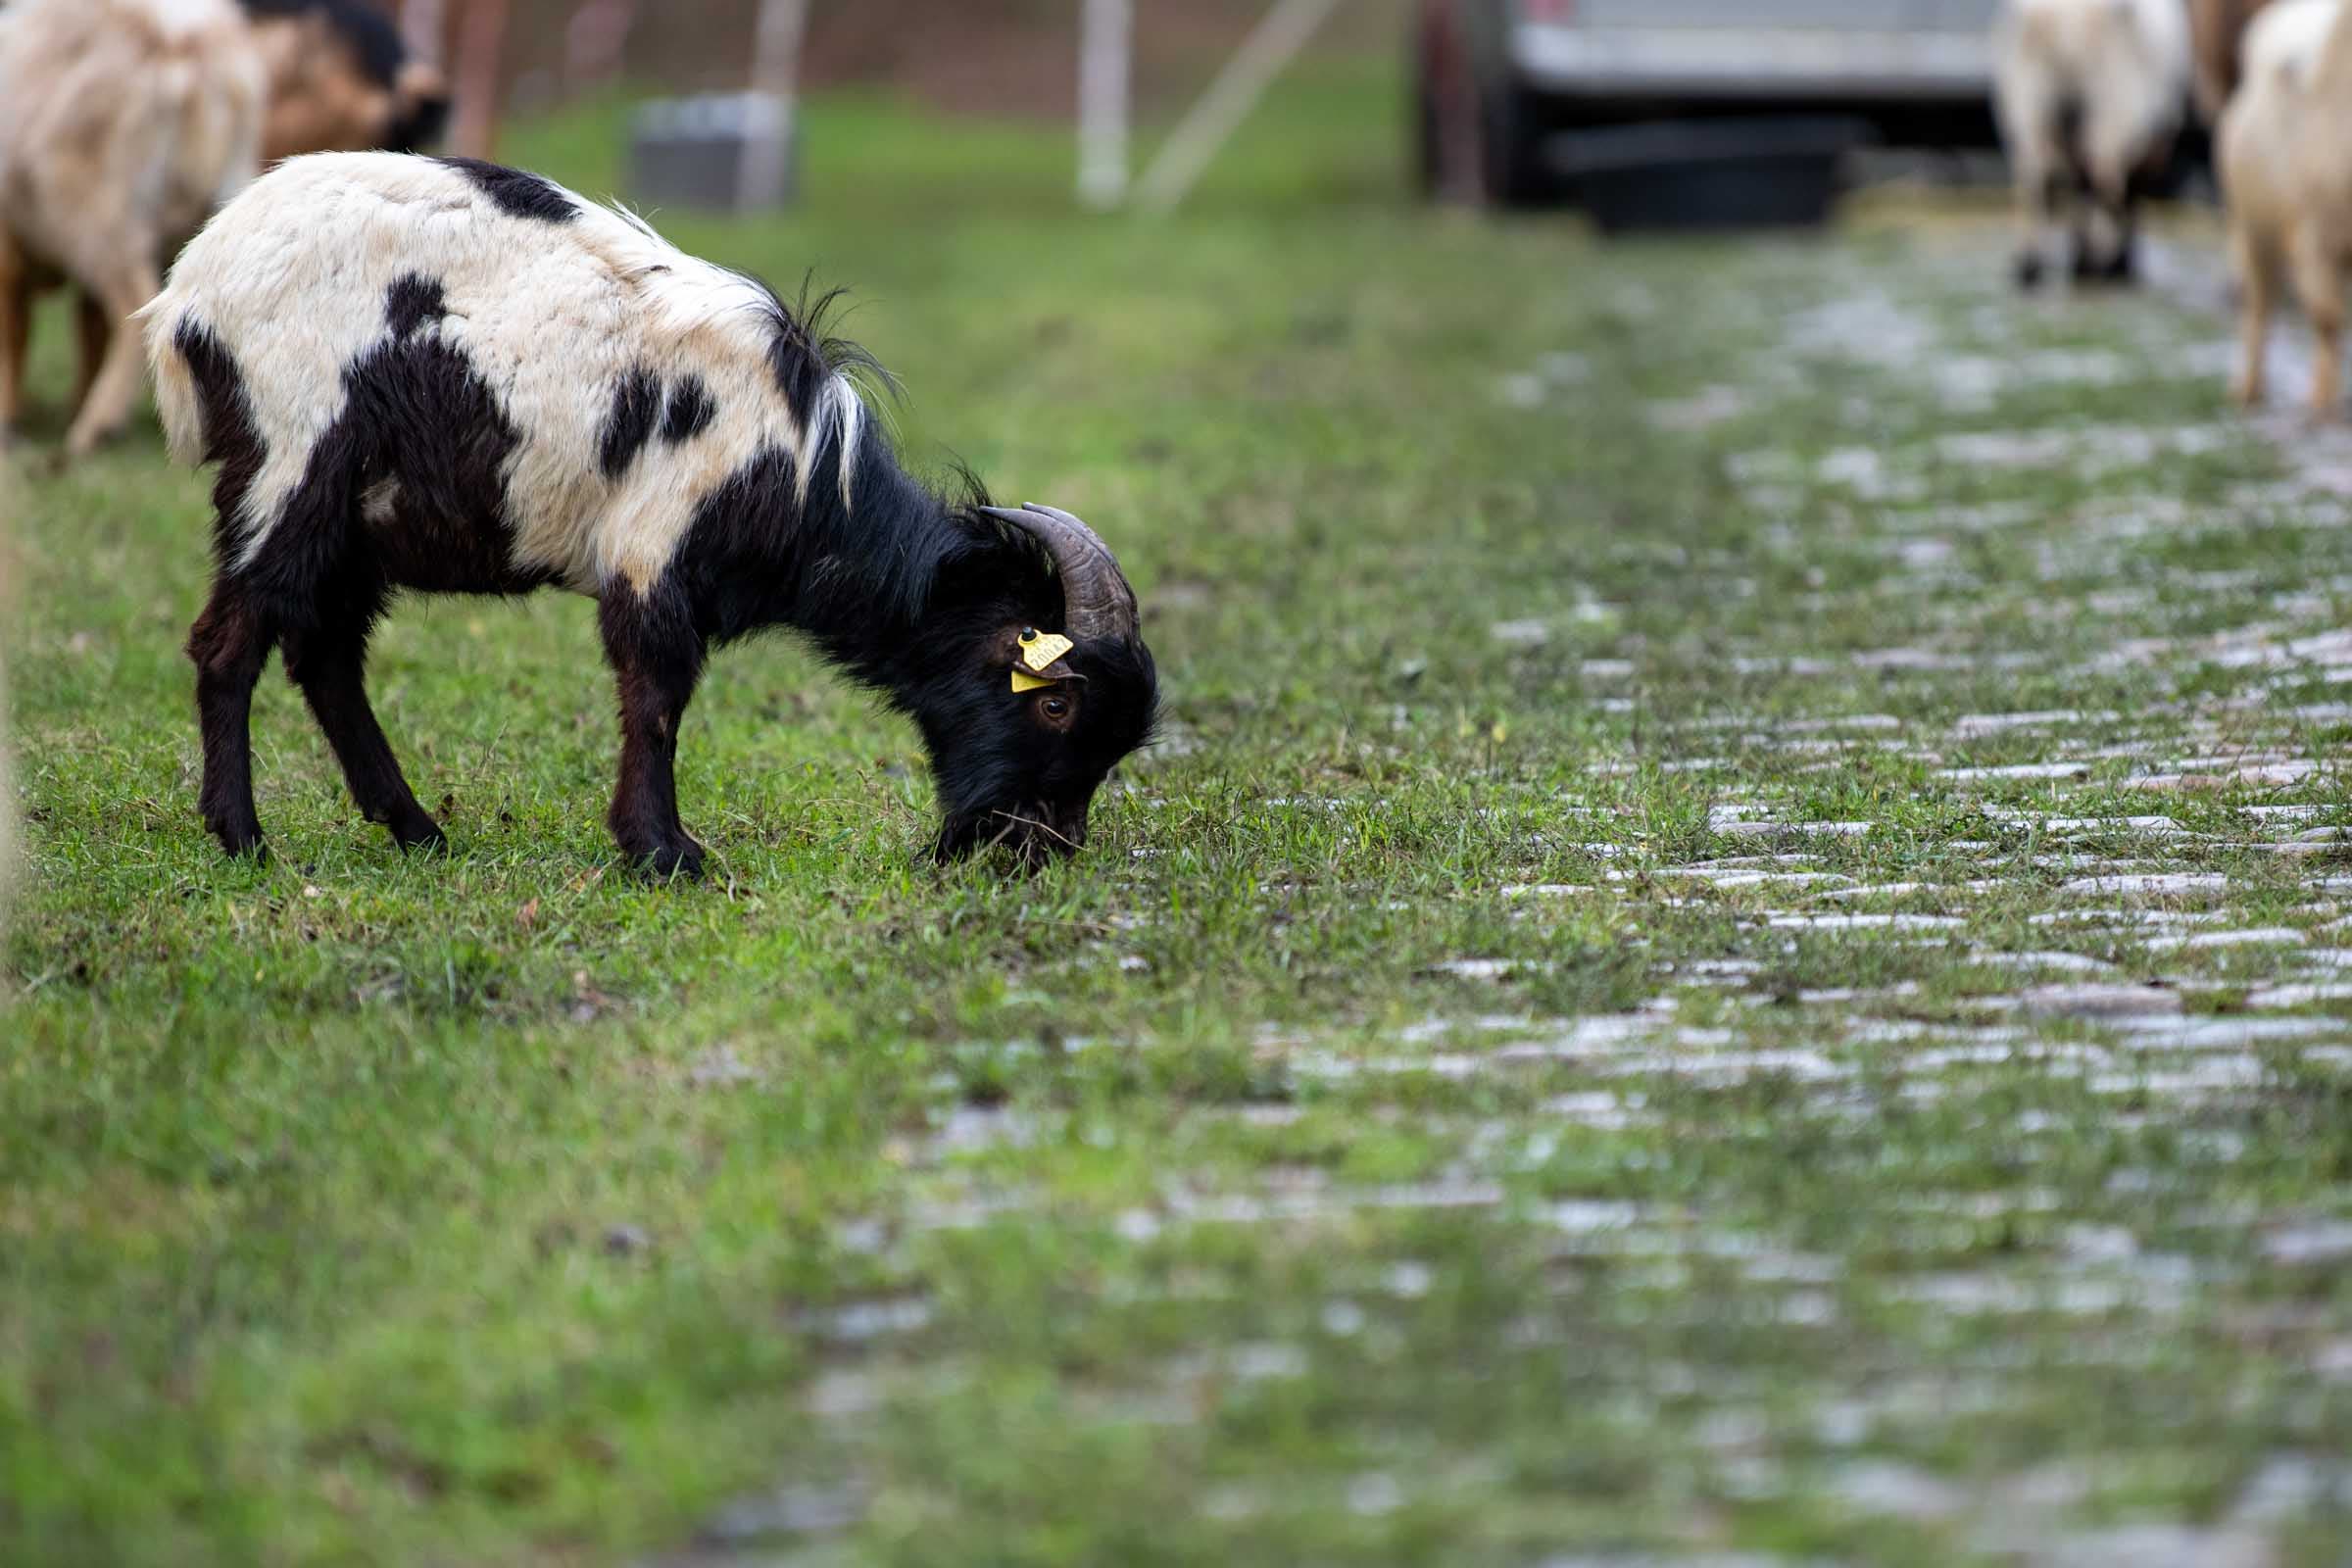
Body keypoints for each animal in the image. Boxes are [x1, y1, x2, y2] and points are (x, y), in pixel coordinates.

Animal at [144, 153, 1160, 874]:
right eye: (1057, 702)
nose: (1029, 850)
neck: (802, 473)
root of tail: (187, 295)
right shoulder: (654, 550)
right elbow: (657, 700)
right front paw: (666, 854)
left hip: (354, 523)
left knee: (325, 658)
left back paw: (417, 832)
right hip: (291, 467)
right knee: (229, 646)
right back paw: (245, 841)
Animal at [1994, 0, 2193, 288]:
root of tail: (2065, 29)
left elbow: (2080, 194)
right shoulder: (2152, 145)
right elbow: (2127, 196)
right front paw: (2108, 261)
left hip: (2029, 108)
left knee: (2037, 181)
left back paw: (2033, 267)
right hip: (2110, 113)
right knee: (2105, 183)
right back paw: (2102, 263)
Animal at [2218, 0, 2352, 414]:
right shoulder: (2313, 236)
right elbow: (2328, 318)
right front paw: (2322, 401)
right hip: (2254, 229)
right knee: (2259, 303)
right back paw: (2248, 389)